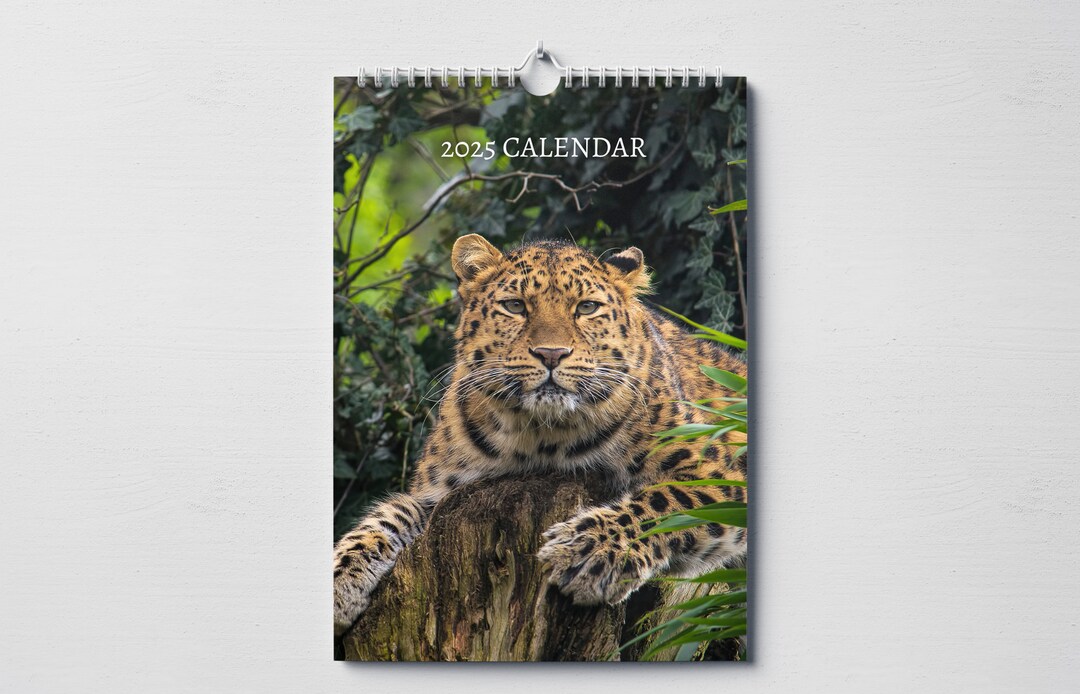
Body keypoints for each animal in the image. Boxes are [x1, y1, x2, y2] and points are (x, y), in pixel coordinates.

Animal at [333, 233, 748, 635]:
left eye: (586, 308)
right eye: (515, 306)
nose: (551, 354)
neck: (543, 435)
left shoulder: (719, 473)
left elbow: (661, 503)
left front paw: (588, 553)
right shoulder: (437, 498)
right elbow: (385, 517)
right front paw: (339, 582)